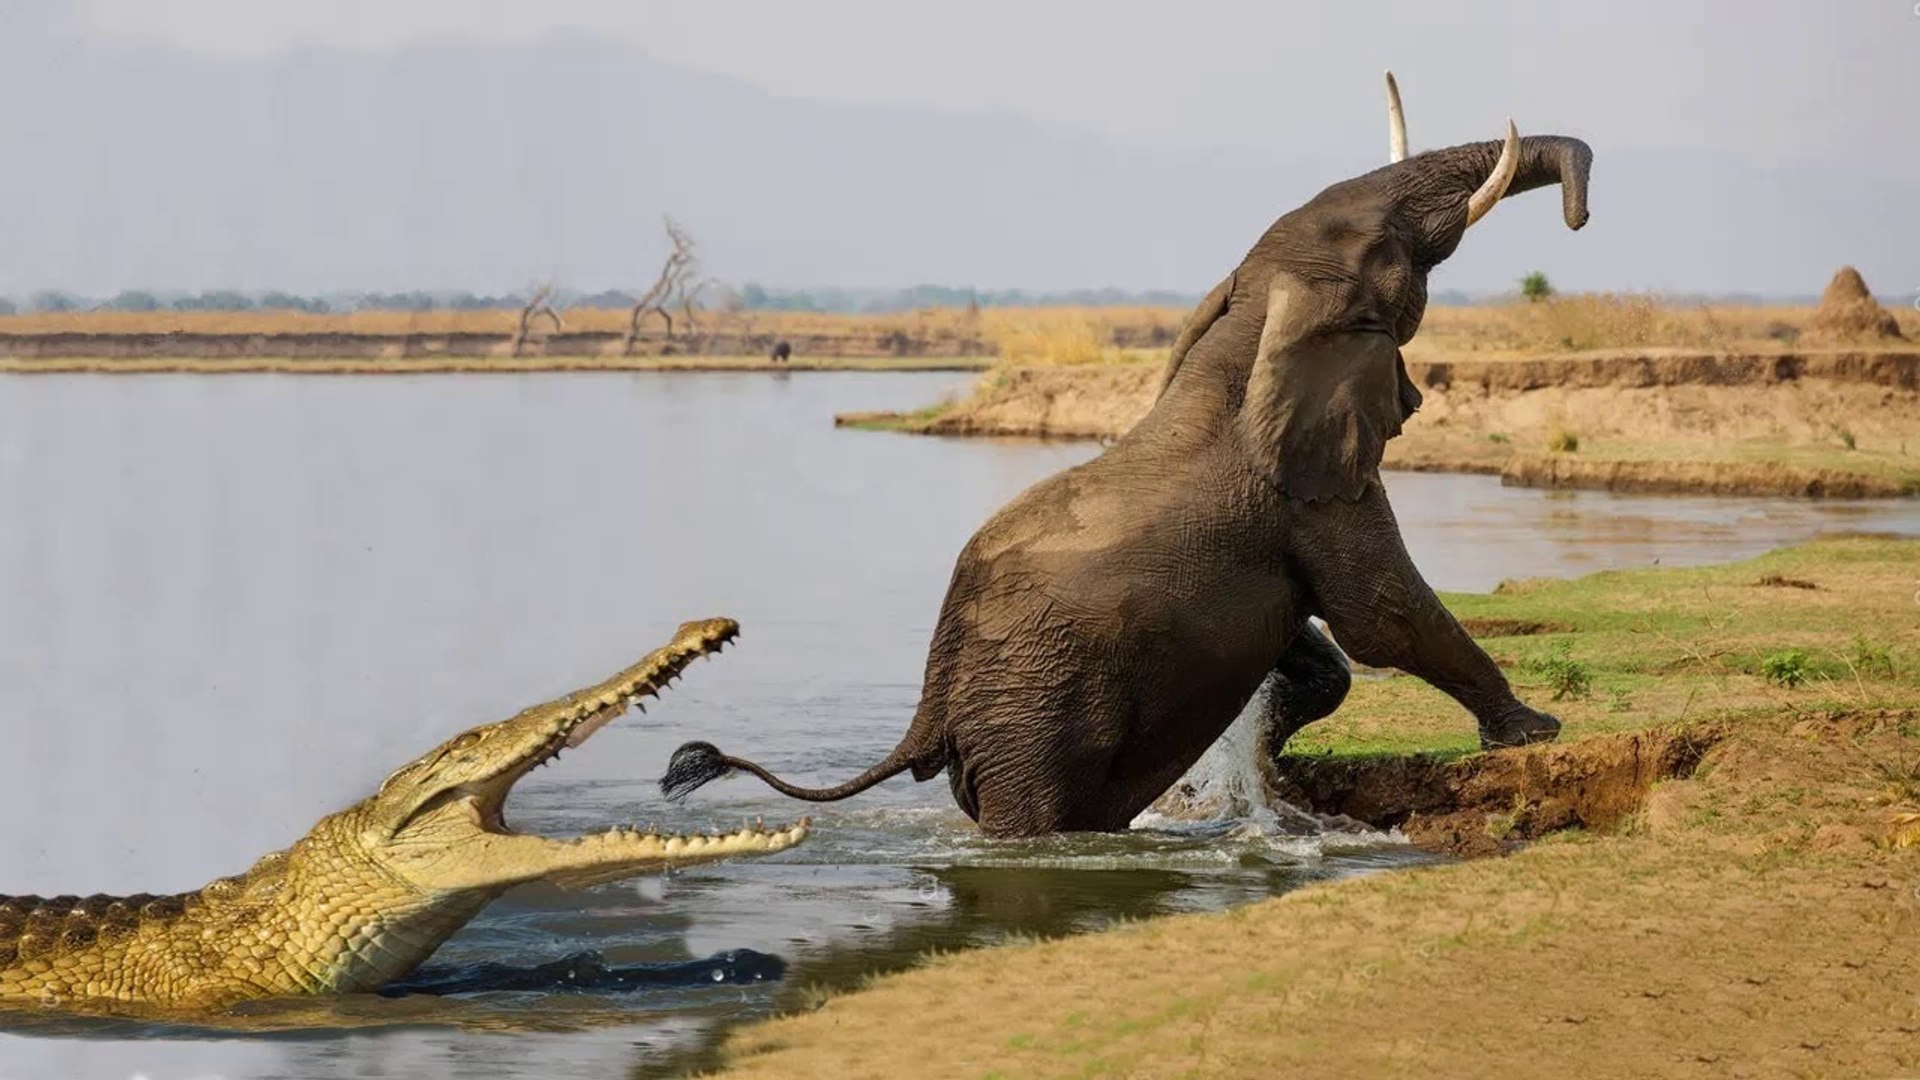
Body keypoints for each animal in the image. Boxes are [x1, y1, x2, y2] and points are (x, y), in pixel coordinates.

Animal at [664, 77, 1592, 837]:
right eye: (1386, 247)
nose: (1580, 217)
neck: (1248, 323)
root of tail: (929, 703)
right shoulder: (1310, 486)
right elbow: (1381, 614)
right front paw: (1536, 731)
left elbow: (1323, 652)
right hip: (1030, 712)